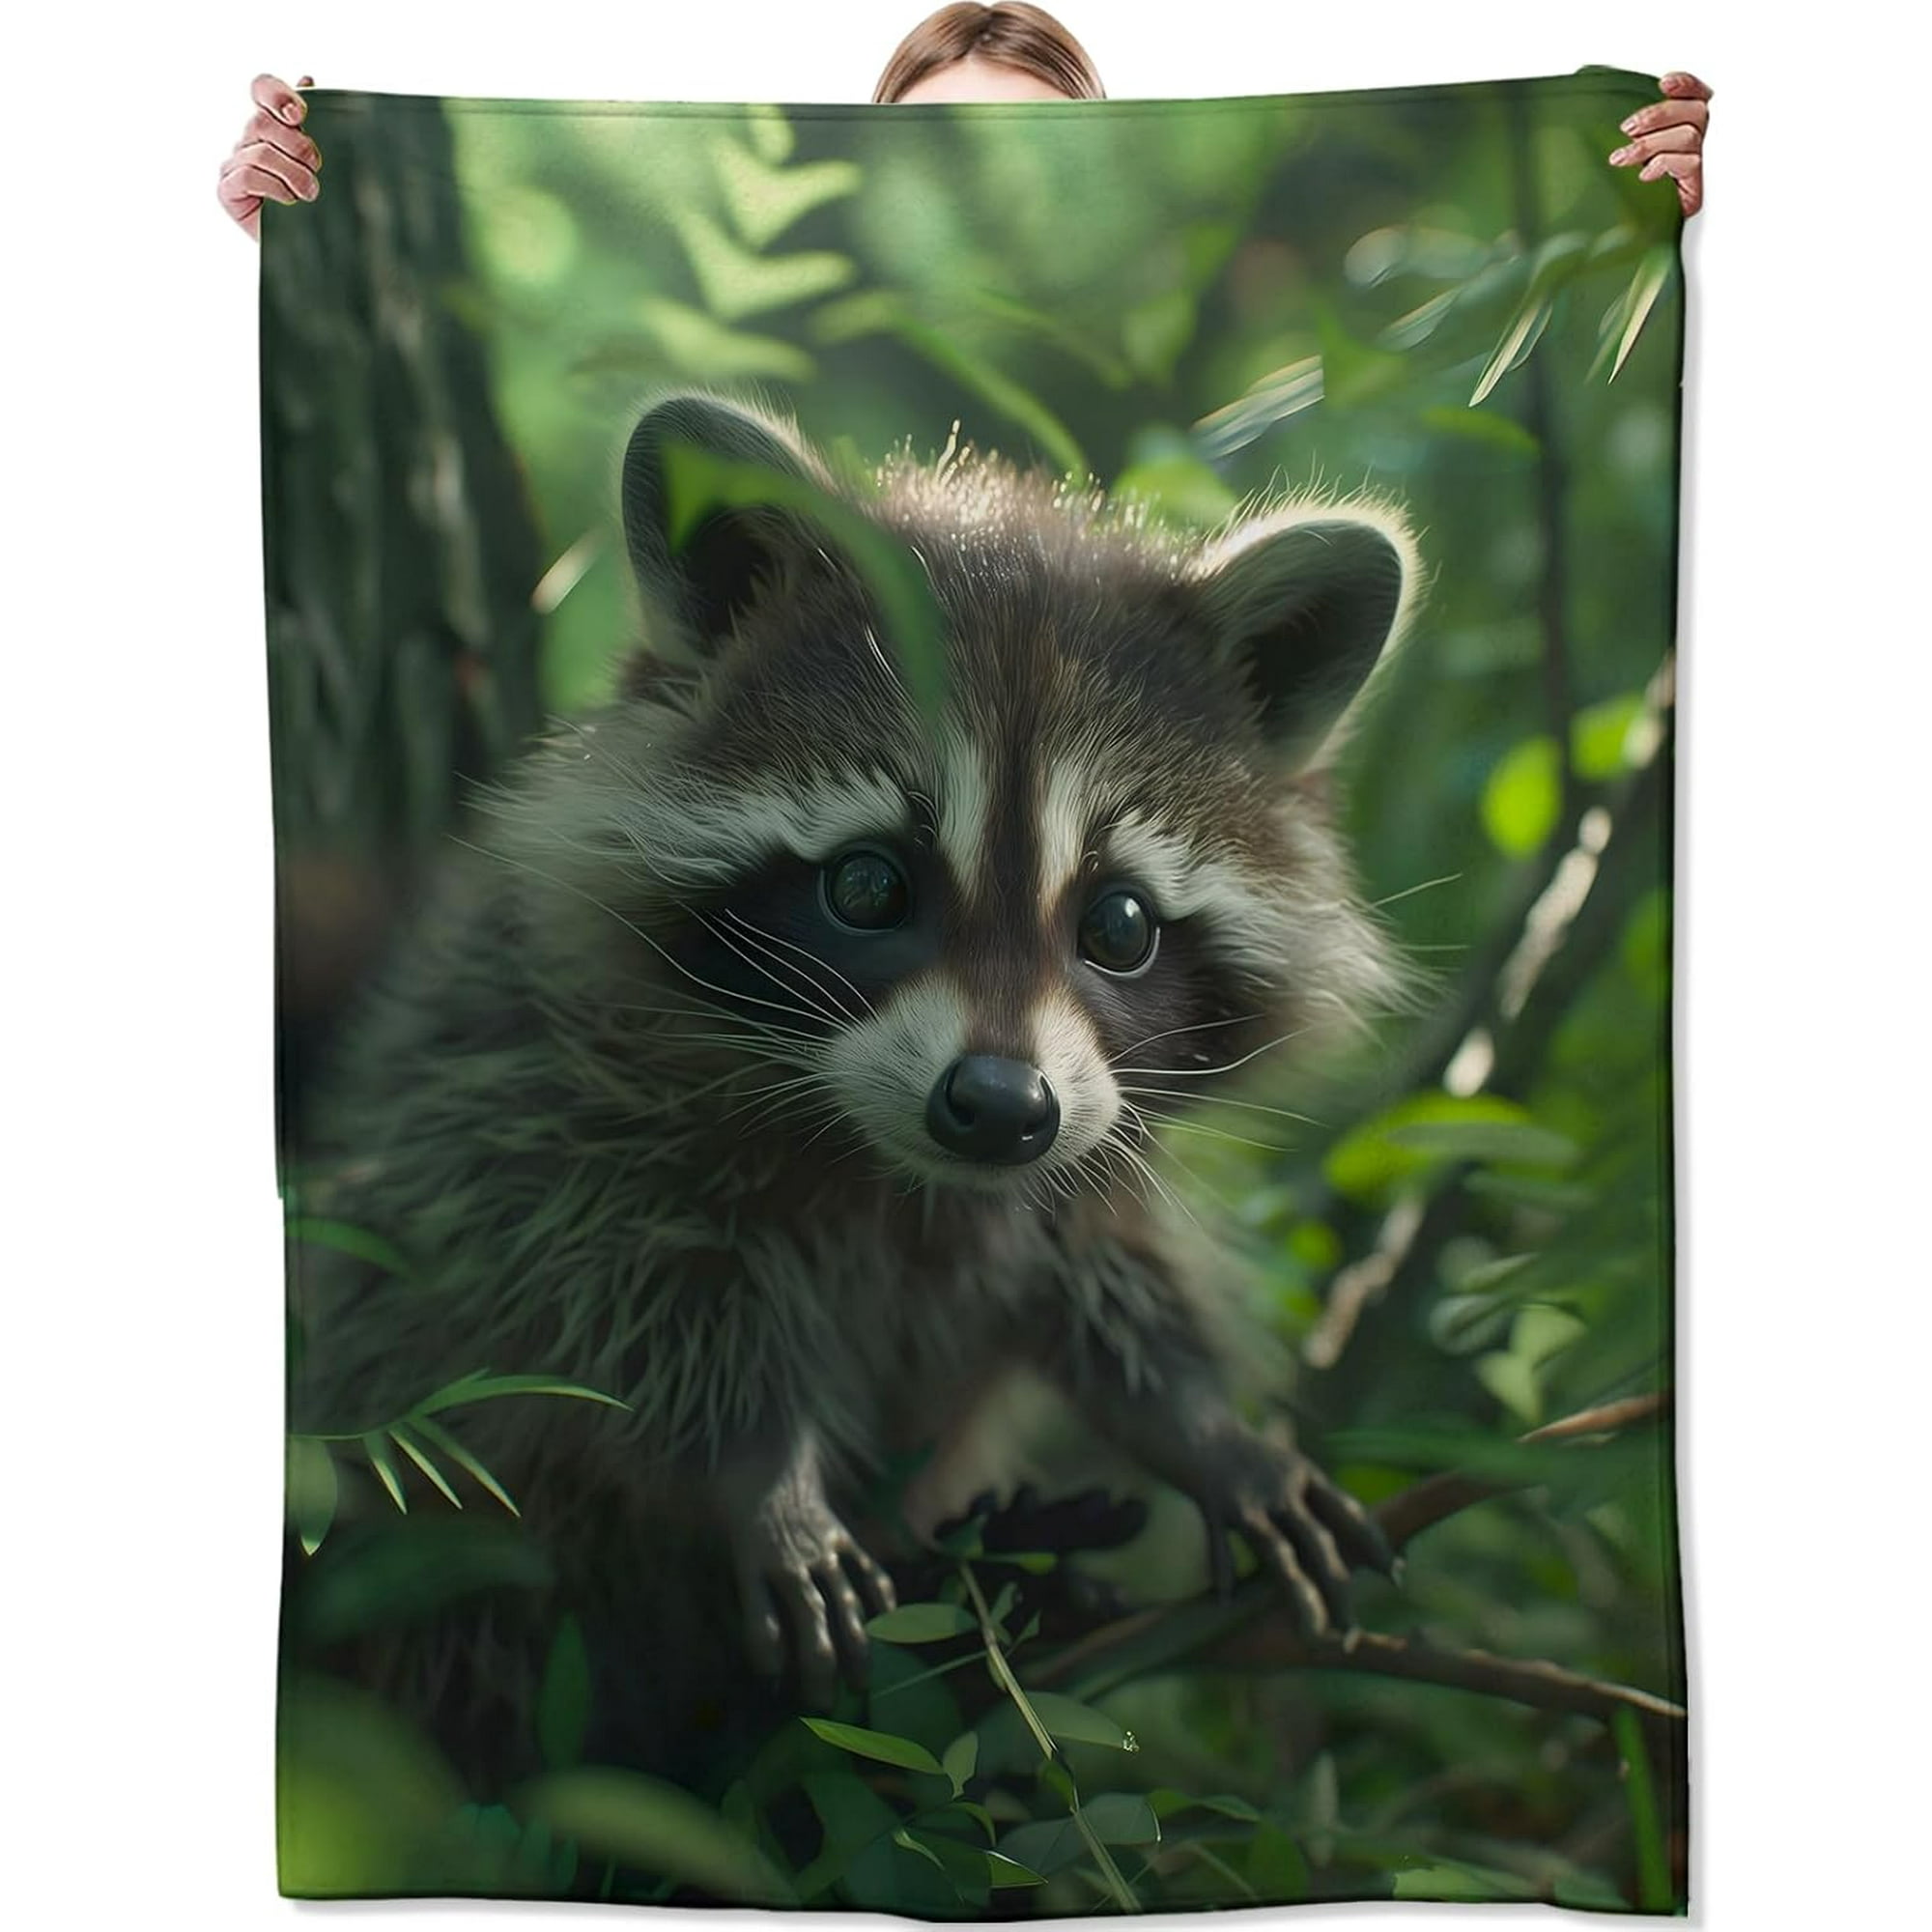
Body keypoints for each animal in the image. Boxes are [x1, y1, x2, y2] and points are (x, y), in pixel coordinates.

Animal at [289, 389, 1423, 1731]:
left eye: (1120, 923)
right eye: (867, 884)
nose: (999, 1107)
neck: (894, 1168)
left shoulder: (1081, 1143)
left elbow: (1109, 1282)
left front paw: (1204, 1424)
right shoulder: (557, 1105)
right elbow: (622, 1310)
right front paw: (763, 1476)